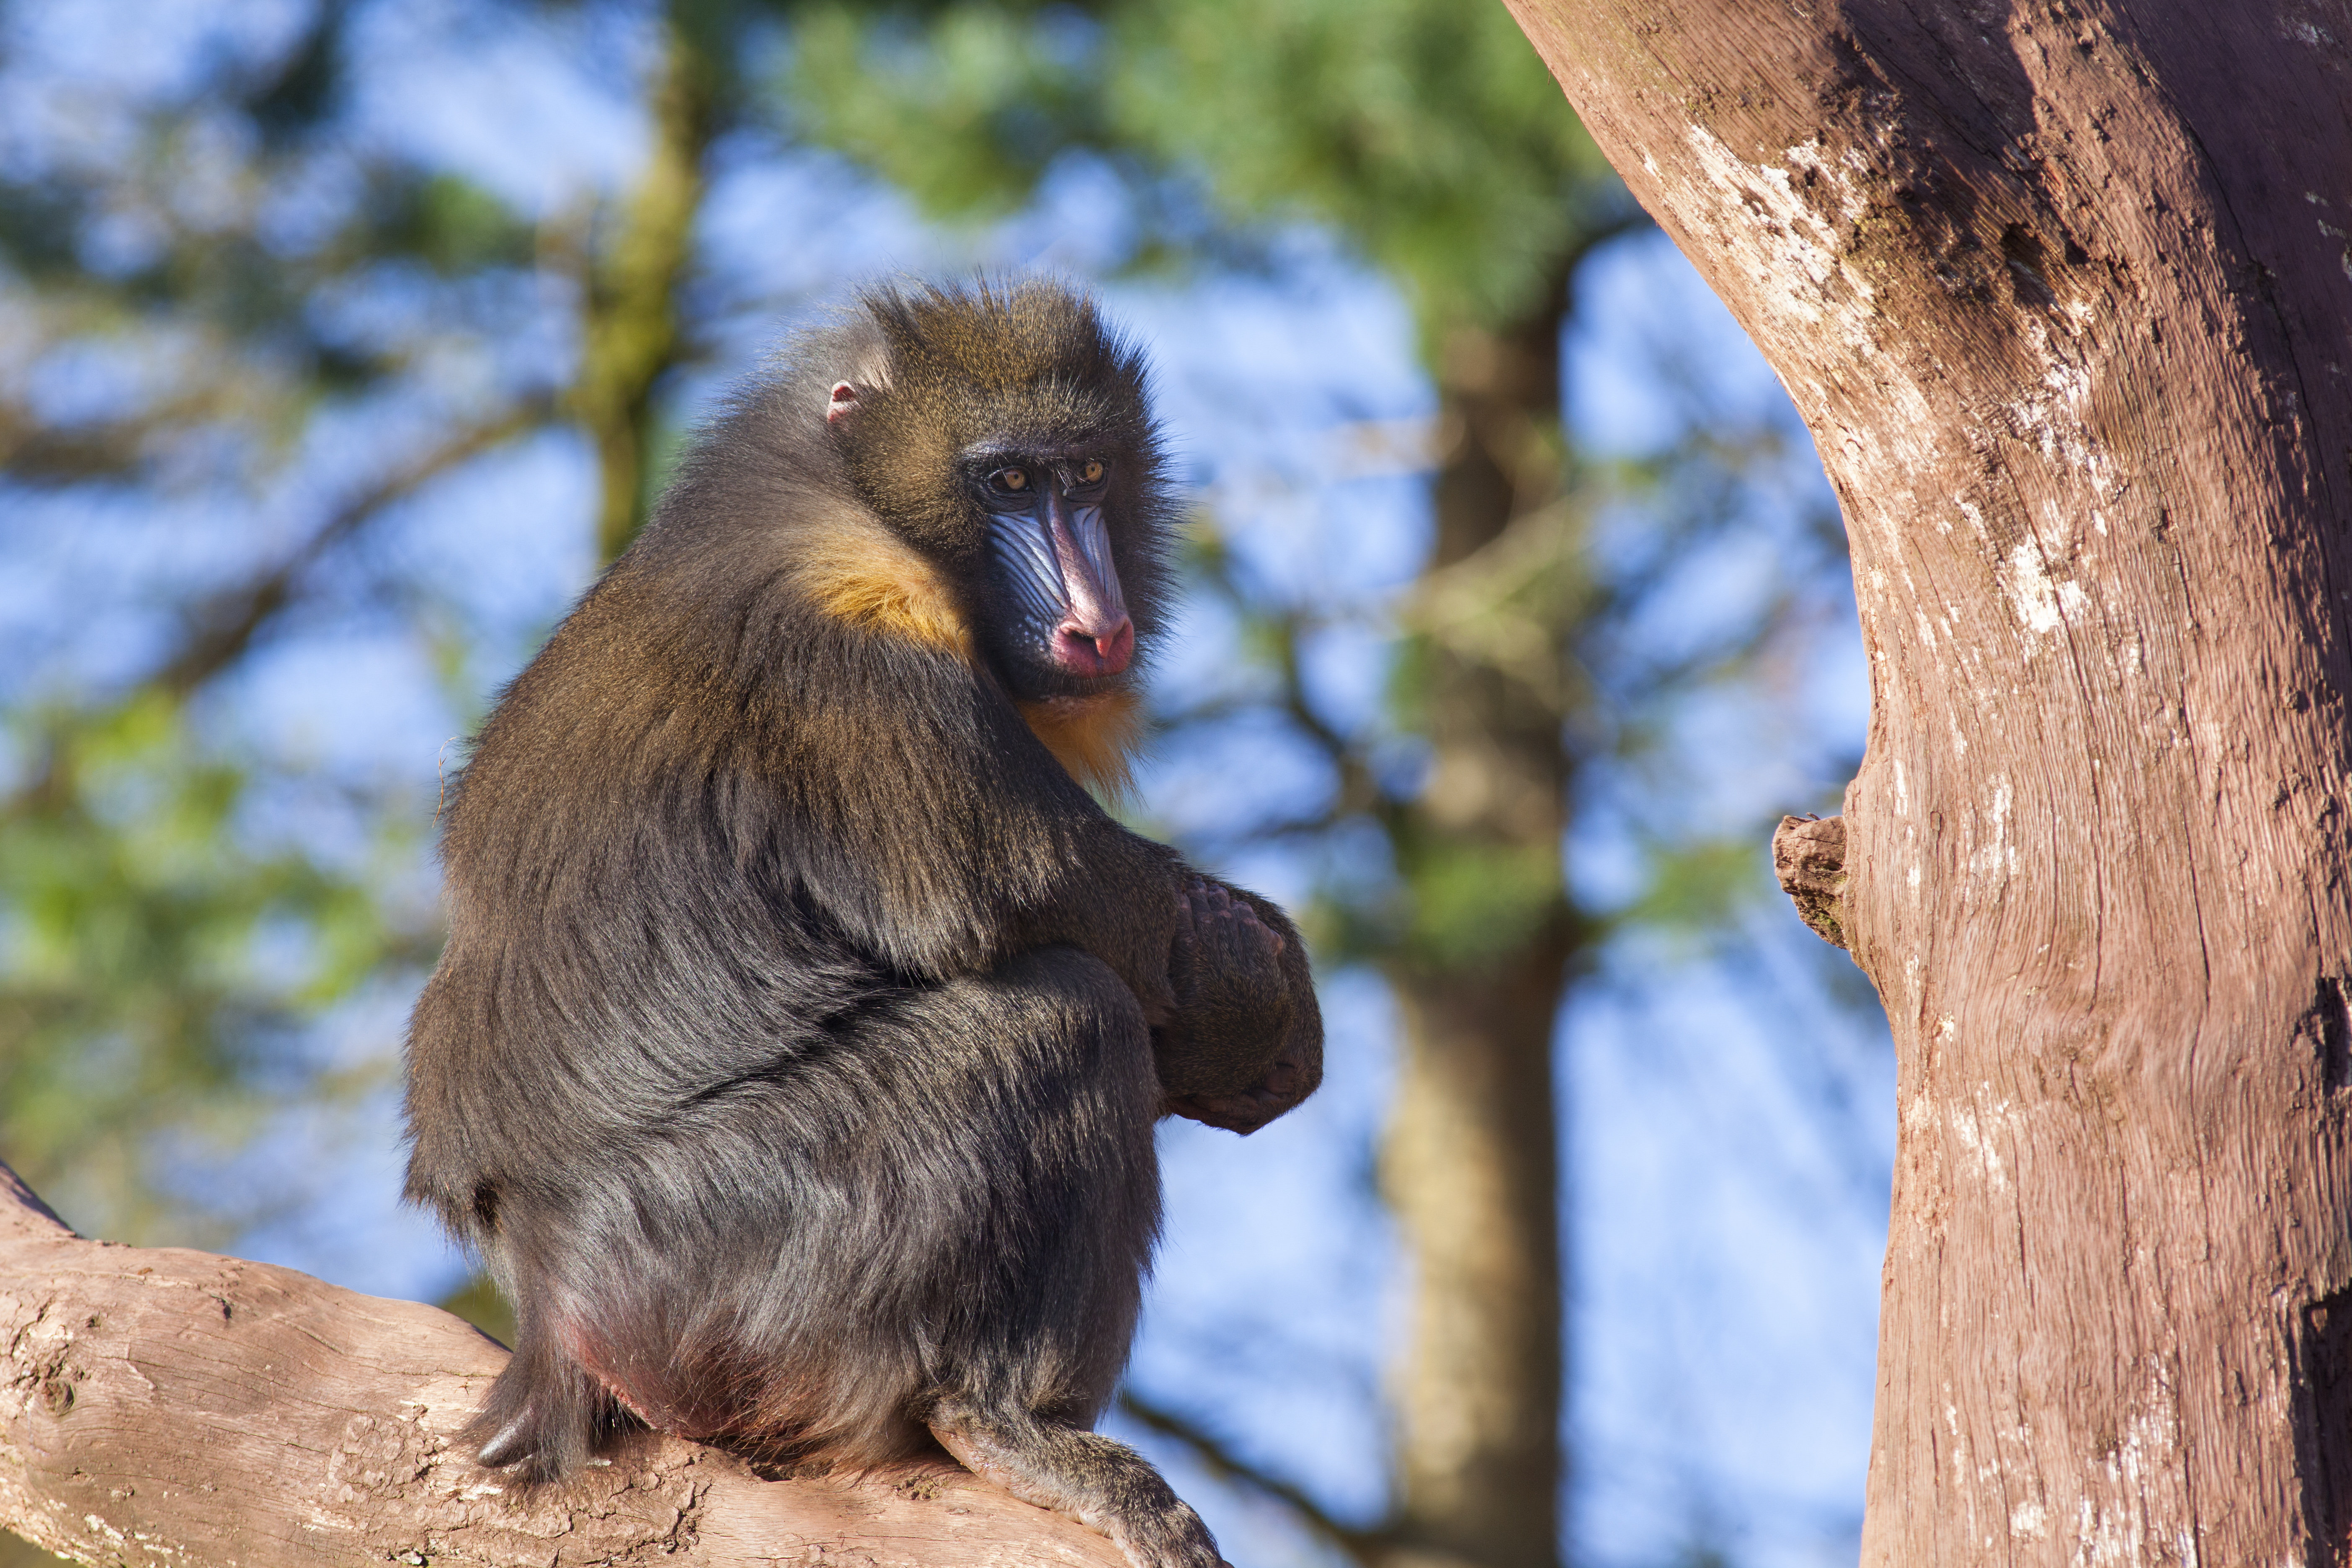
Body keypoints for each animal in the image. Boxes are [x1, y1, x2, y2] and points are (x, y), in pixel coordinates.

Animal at [401, 280, 1321, 1568]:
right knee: (1063, 1019)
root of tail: (548, 1311)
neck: (857, 493)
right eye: (1006, 483)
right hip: (724, 1264)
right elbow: (1019, 885)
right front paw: (1264, 989)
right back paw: (1003, 1420)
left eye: (1086, 474)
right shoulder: (856, 621)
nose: (1096, 624)